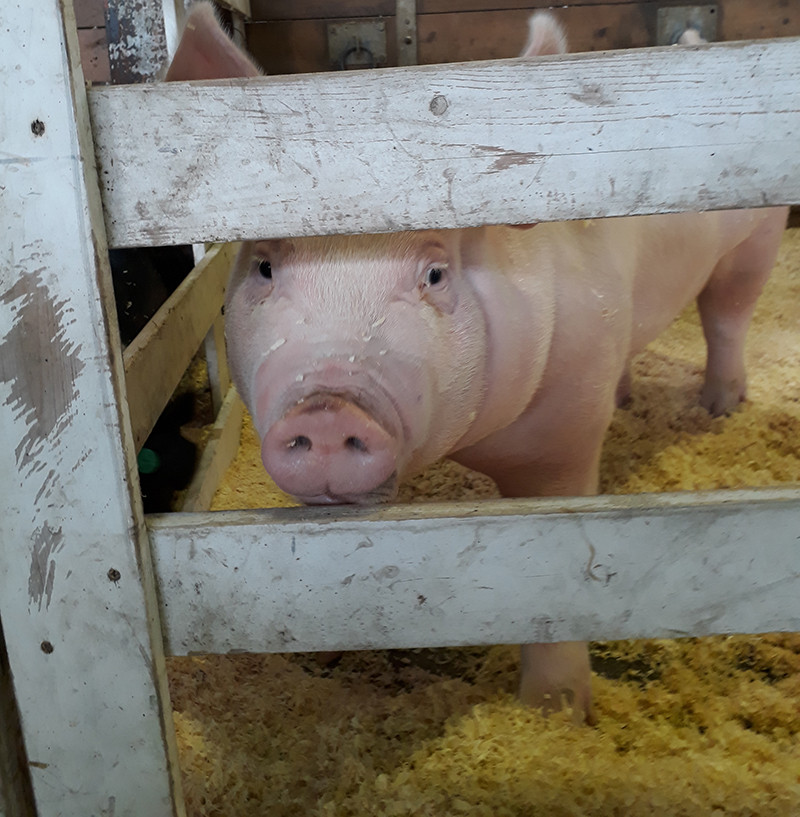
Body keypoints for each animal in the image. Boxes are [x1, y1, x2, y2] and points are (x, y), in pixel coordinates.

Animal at [167, 4, 788, 724]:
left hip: (758, 236)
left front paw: (555, 714)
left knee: (728, 313)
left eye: (435, 274)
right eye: (266, 266)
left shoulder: (565, 437)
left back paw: (720, 408)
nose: (325, 408)